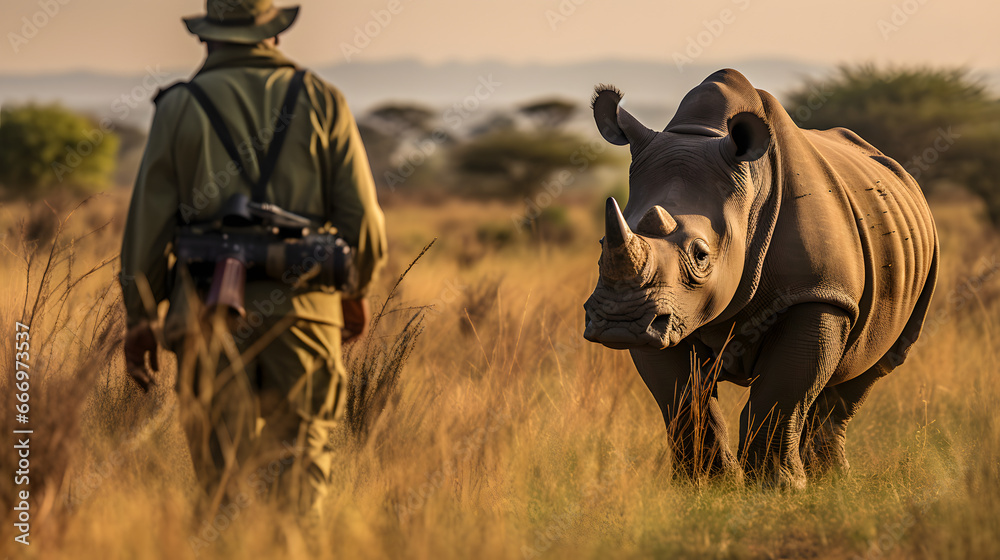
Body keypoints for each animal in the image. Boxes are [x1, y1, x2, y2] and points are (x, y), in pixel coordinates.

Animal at [582, 69, 938, 489]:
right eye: (601, 242)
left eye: (701, 255)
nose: (618, 322)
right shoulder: (664, 313)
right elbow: (682, 398)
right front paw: (705, 487)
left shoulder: (818, 292)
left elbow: (782, 394)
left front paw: (778, 488)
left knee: (872, 367)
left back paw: (831, 480)